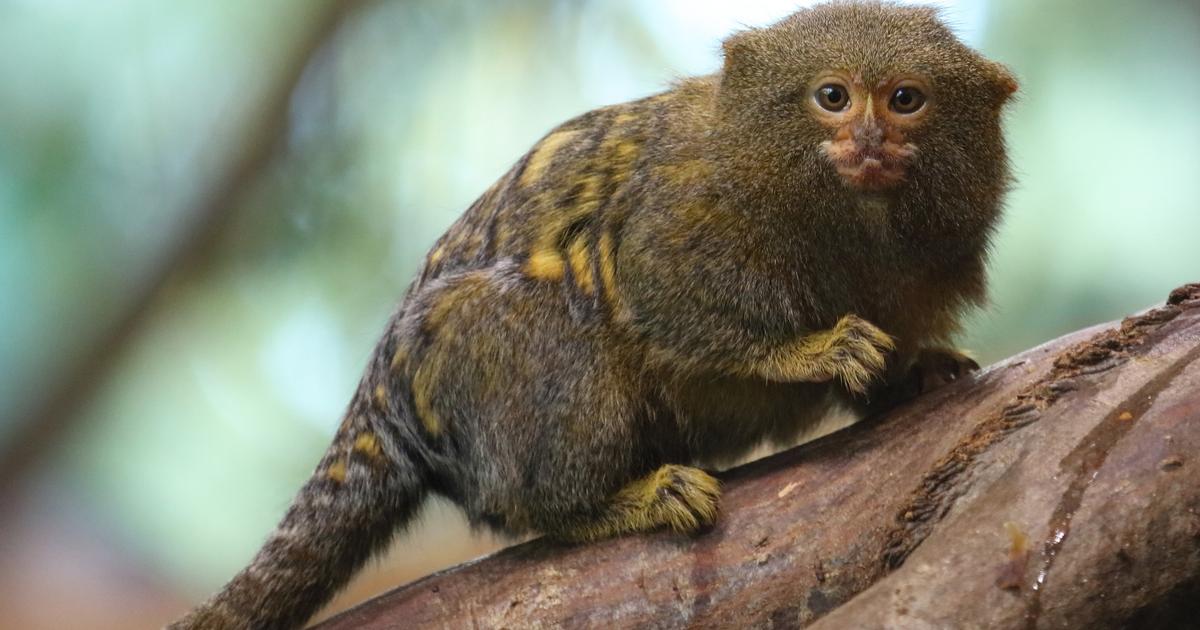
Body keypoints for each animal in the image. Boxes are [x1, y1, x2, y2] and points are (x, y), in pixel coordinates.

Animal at [172, 2, 1017, 628]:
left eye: (906, 99)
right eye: (831, 96)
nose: (869, 139)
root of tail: (384, 394)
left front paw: (915, 372)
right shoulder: (681, 213)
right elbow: (661, 297)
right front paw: (812, 352)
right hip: (478, 357)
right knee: (555, 390)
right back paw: (612, 505)